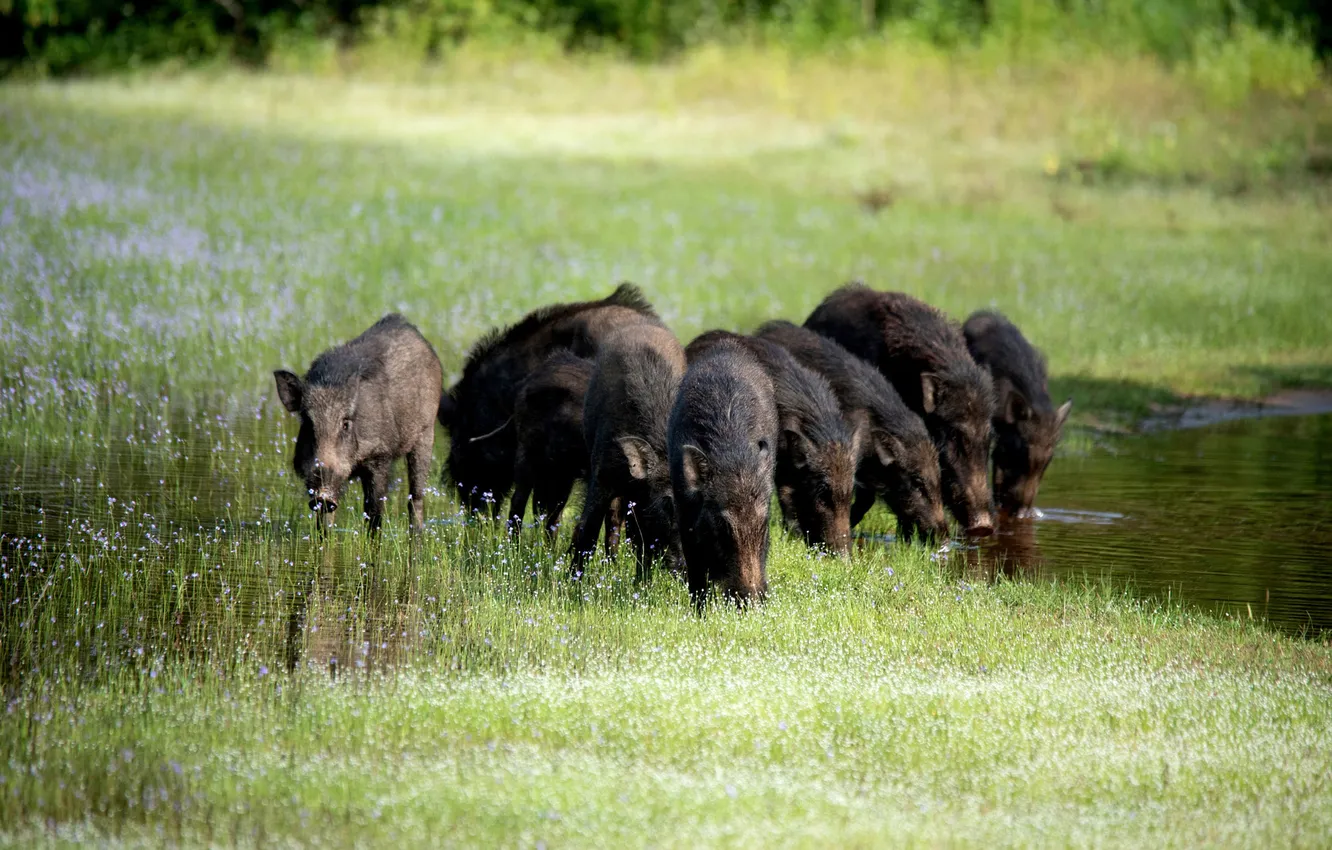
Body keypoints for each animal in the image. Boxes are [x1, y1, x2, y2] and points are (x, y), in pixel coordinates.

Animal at [273, 314, 443, 534]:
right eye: (308, 424)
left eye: (345, 424)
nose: (323, 496)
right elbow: (325, 522)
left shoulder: (379, 457)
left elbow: (374, 512)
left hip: (426, 433)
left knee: (416, 497)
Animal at [570, 324, 686, 579]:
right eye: (668, 503)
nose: (684, 566)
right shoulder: (601, 480)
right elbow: (586, 532)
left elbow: (642, 545)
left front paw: (641, 584)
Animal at [669, 340, 779, 609]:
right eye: (721, 524)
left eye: (764, 524)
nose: (753, 600)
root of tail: (727, 345)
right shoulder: (684, 515)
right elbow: (697, 580)